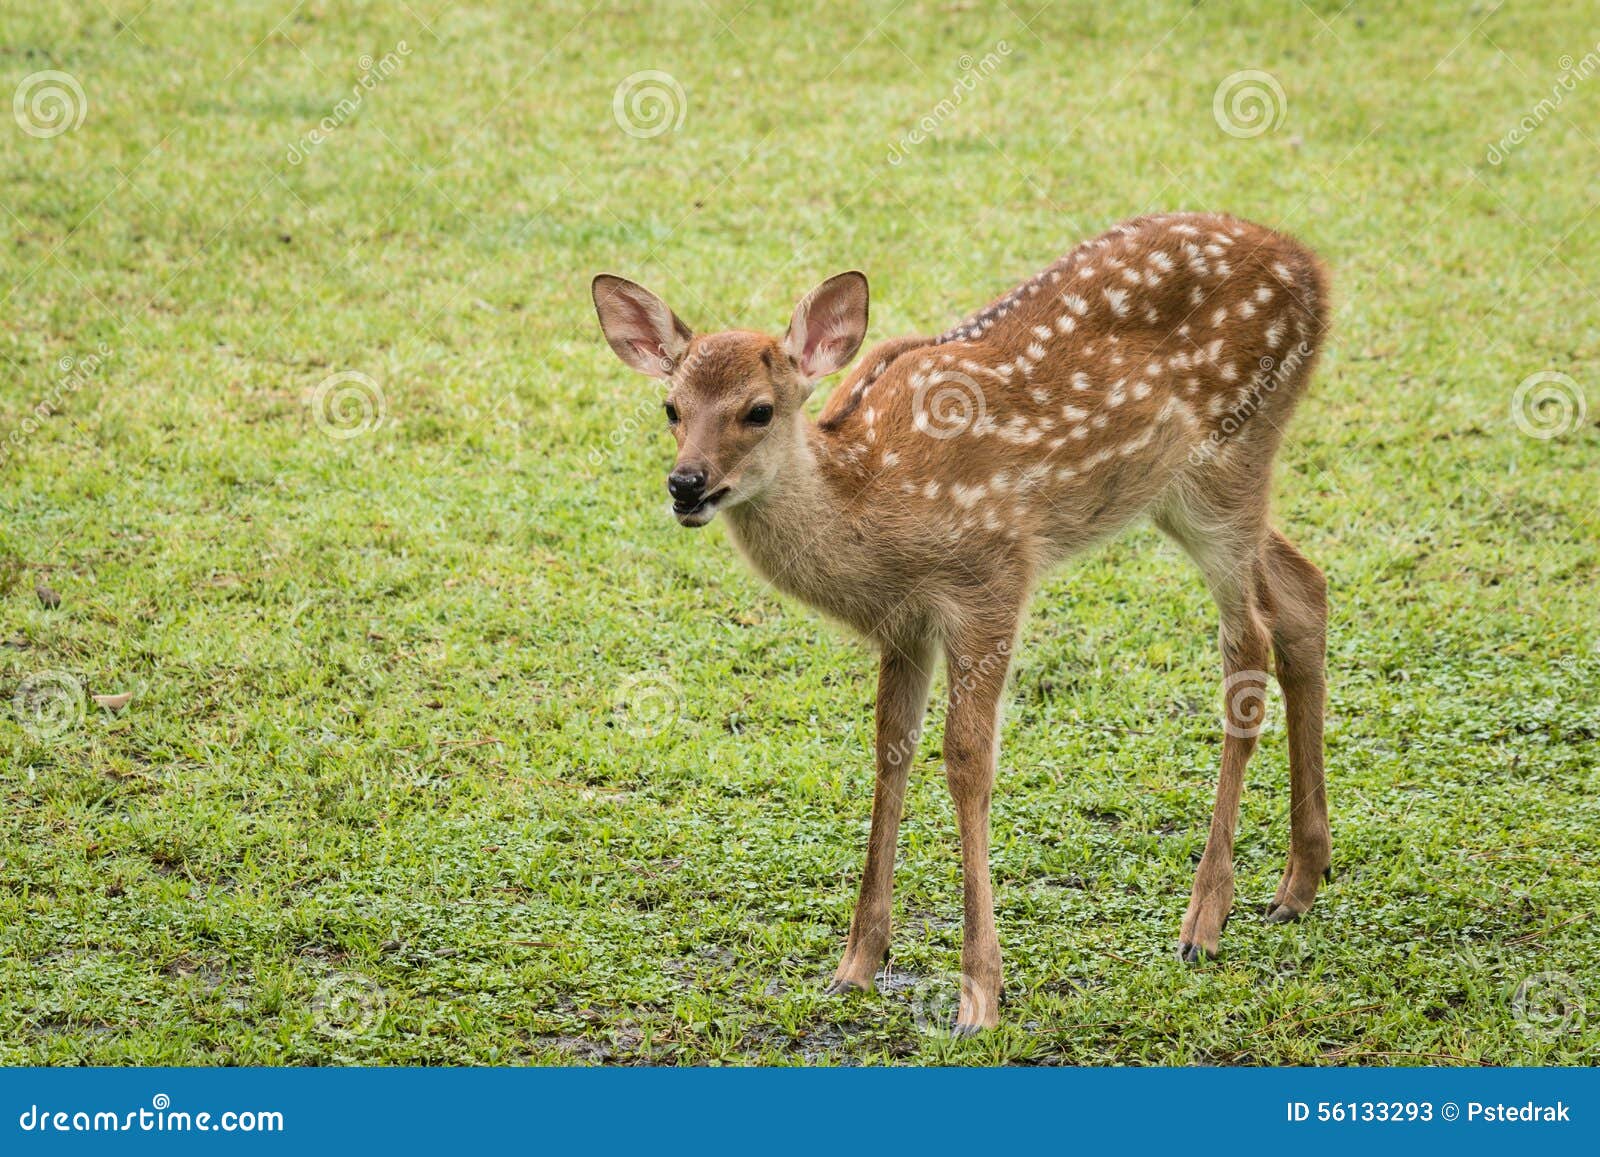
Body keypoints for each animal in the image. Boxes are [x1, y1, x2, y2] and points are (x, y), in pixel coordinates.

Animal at [592, 212, 1332, 1034]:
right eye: (670, 409)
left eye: (759, 409)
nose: (686, 484)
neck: (874, 499)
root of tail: (1310, 266)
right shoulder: (904, 624)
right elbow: (891, 751)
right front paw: (856, 964)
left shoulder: (993, 574)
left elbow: (968, 759)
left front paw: (980, 992)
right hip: (1180, 493)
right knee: (1305, 593)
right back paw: (1299, 883)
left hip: (1228, 461)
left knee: (1247, 642)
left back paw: (1205, 918)